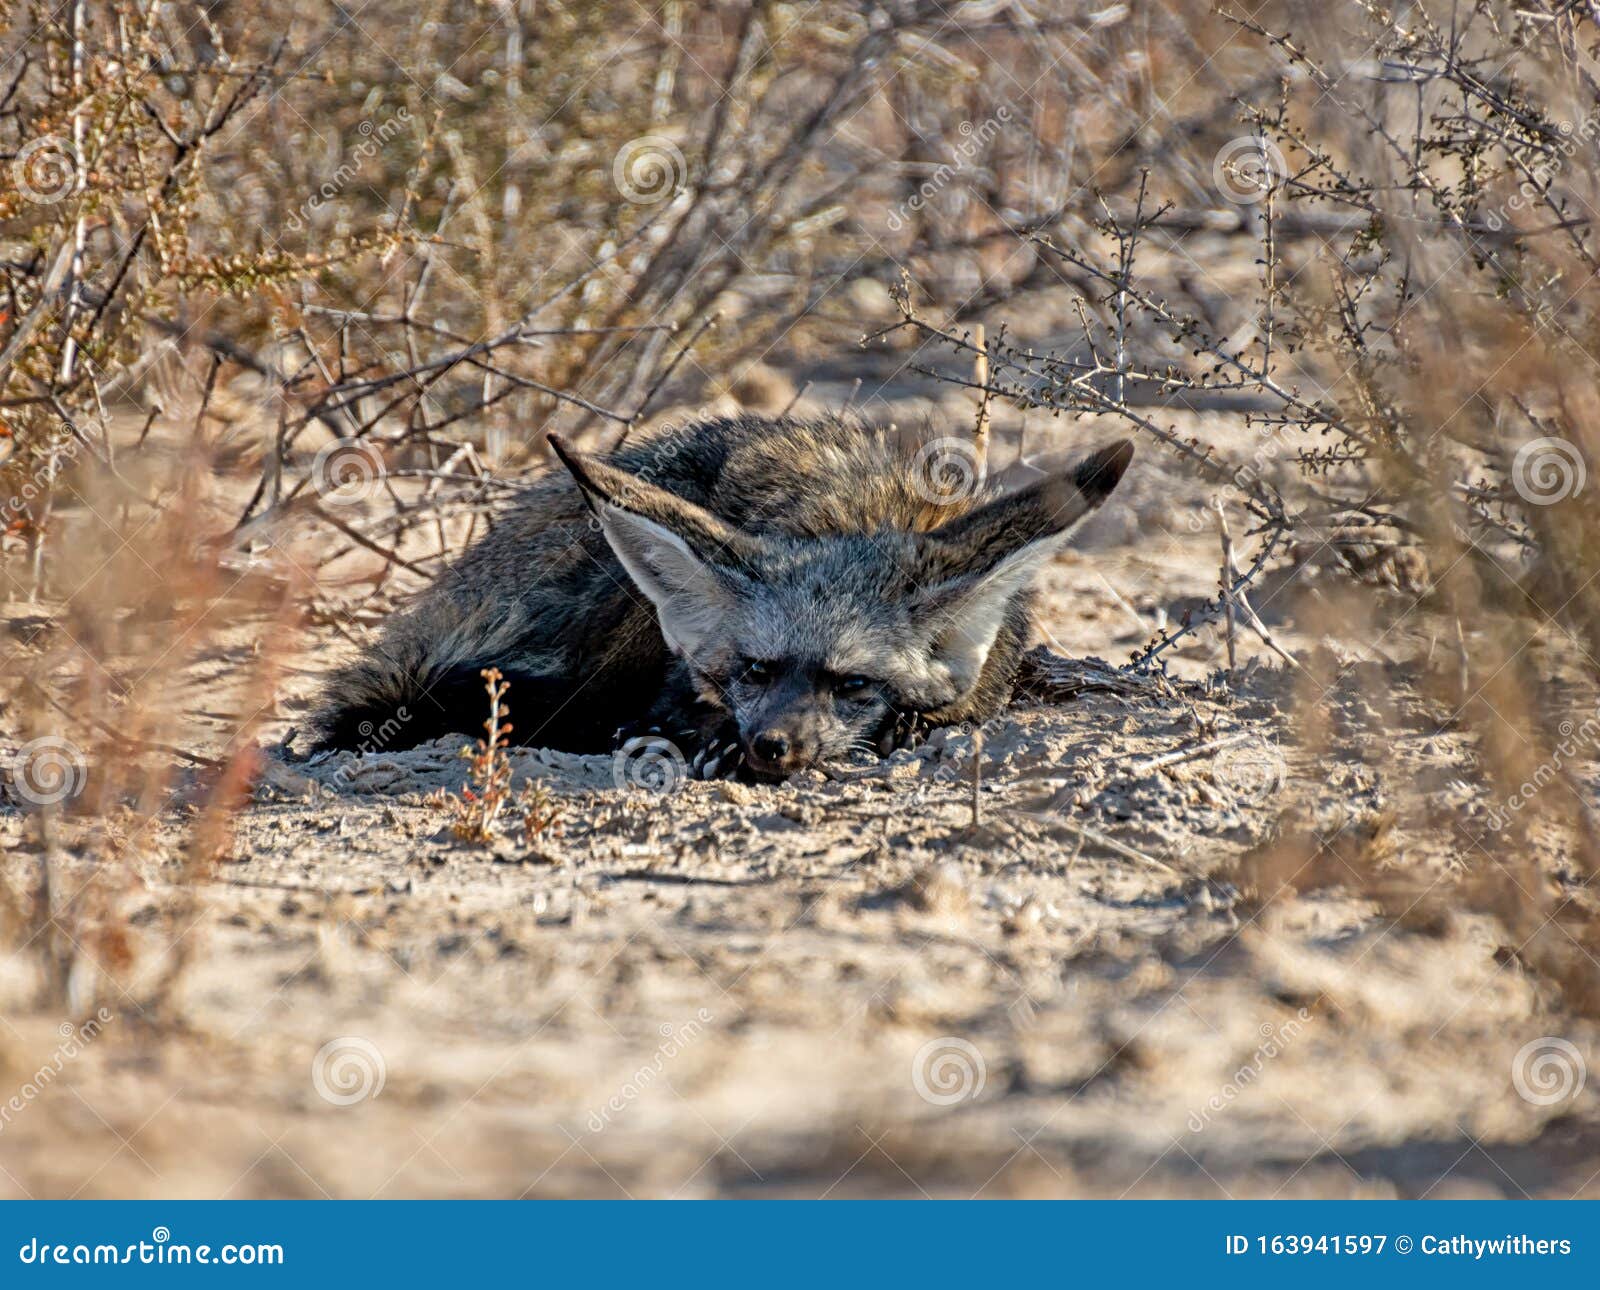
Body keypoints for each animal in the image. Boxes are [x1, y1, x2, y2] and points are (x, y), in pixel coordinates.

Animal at [310, 414, 1132, 779]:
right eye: (756, 671)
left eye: (853, 684)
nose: (770, 746)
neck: (841, 515)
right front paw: (704, 736)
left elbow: (953, 707)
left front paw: (912, 724)